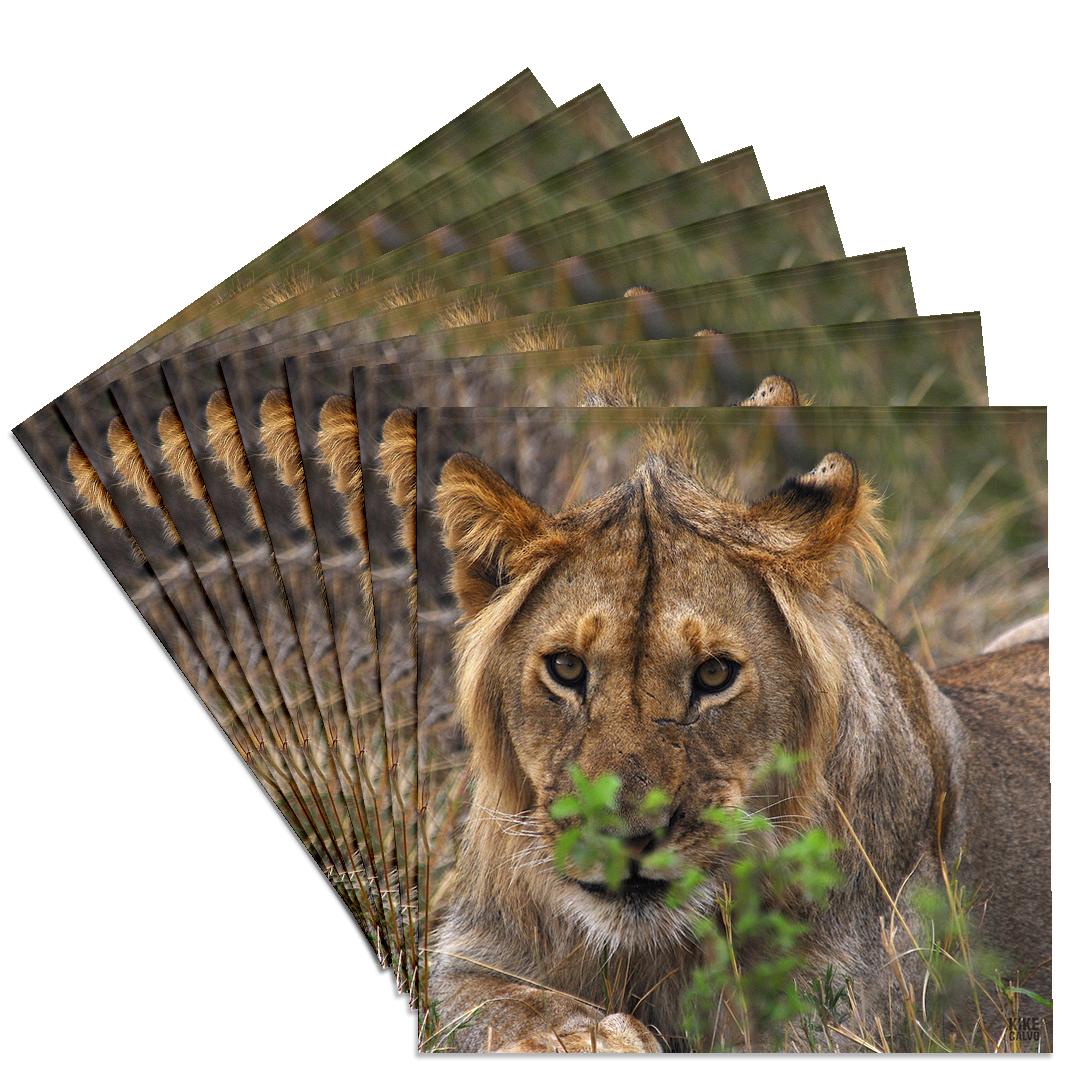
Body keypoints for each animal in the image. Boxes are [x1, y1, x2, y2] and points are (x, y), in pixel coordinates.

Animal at [426, 429, 1050, 1052]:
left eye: (713, 675)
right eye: (566, 667)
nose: (627, 839)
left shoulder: (838, 1019)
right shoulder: (467, 963)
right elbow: (504, 1008)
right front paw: (587, 1036)